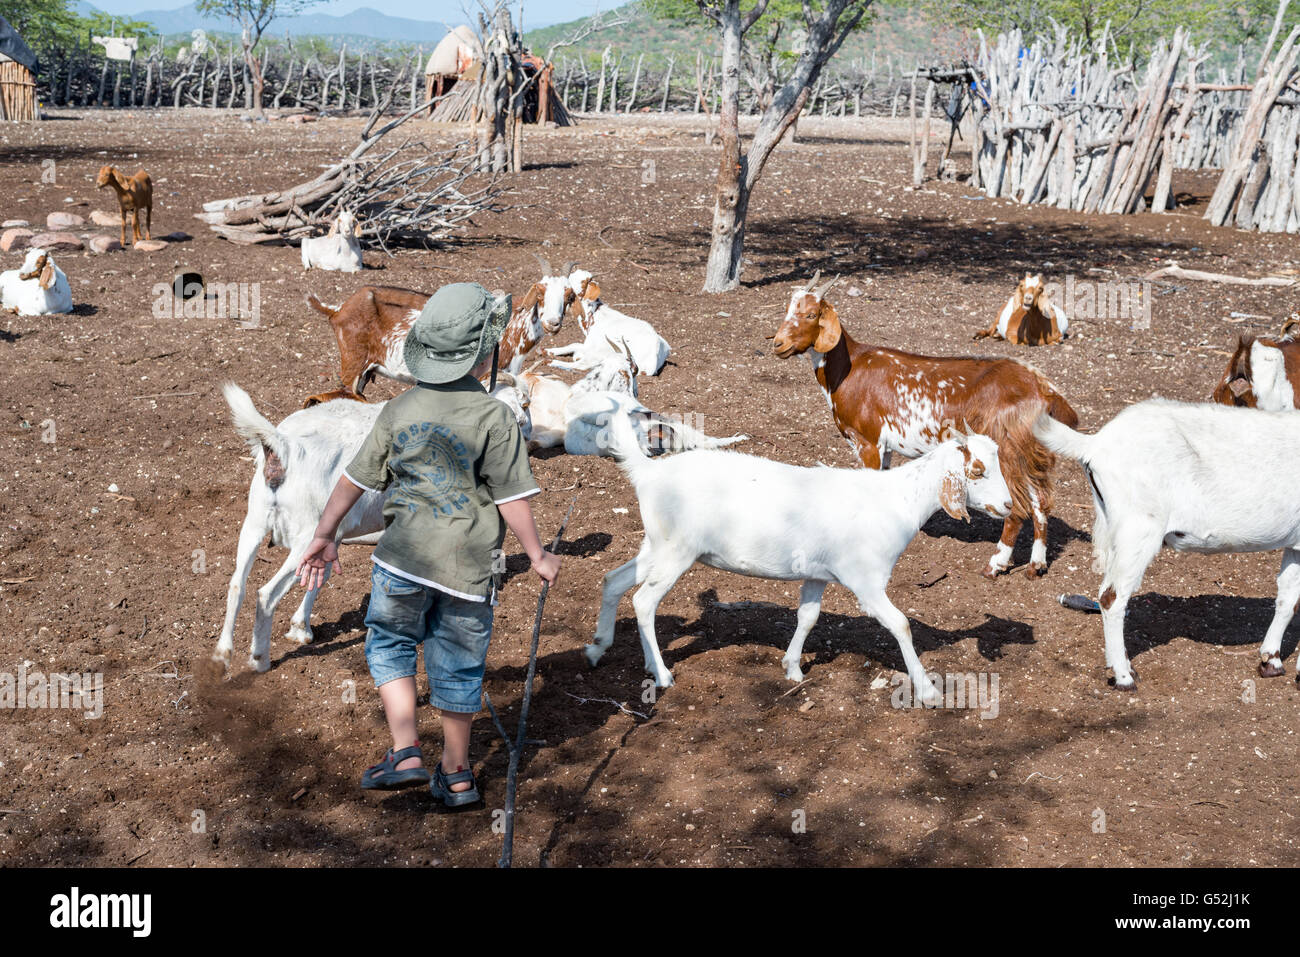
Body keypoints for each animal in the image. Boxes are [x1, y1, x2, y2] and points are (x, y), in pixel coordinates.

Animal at [214, 381, 531, 672]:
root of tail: (283, 446)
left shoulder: (334, 535)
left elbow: (320, 575)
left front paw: (300, 628)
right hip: (303, 535)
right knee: (266, 595)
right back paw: (259, 659)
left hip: (256, 521)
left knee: (236, 584)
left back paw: (222, 654)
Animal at [586, 413, 1012, 698]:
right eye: (976, 470)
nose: (1008, 505)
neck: (895, 501)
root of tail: (648, 474)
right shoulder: (866, 581)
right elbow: (901, 624)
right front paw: (927, 690)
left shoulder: (817, 574)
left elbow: (808, 617)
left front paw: (792, 668)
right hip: (676, 550)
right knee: (643, 601)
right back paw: (661, 674)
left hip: (656, 544)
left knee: (613, 580)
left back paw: (599, 647)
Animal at [772, 272, 1078, 579]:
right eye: (788, 310)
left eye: (811, 314)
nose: (778, 344)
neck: (850, 369)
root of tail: (1044, 388)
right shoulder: (884, 446)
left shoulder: (868, 440)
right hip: (1032, 453)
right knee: (1040, 502)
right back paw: (1036, 565)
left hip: (1007, 451)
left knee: (1017, 507)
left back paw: (995, 565)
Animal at [1035, 399, 1300, 690]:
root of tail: (1095, 443)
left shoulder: (1296, 546)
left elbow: (1287, 598)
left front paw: (1271, 661)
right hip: (1139, 529)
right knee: (1111, 597)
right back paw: (1124, 677)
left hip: (1115, 527)